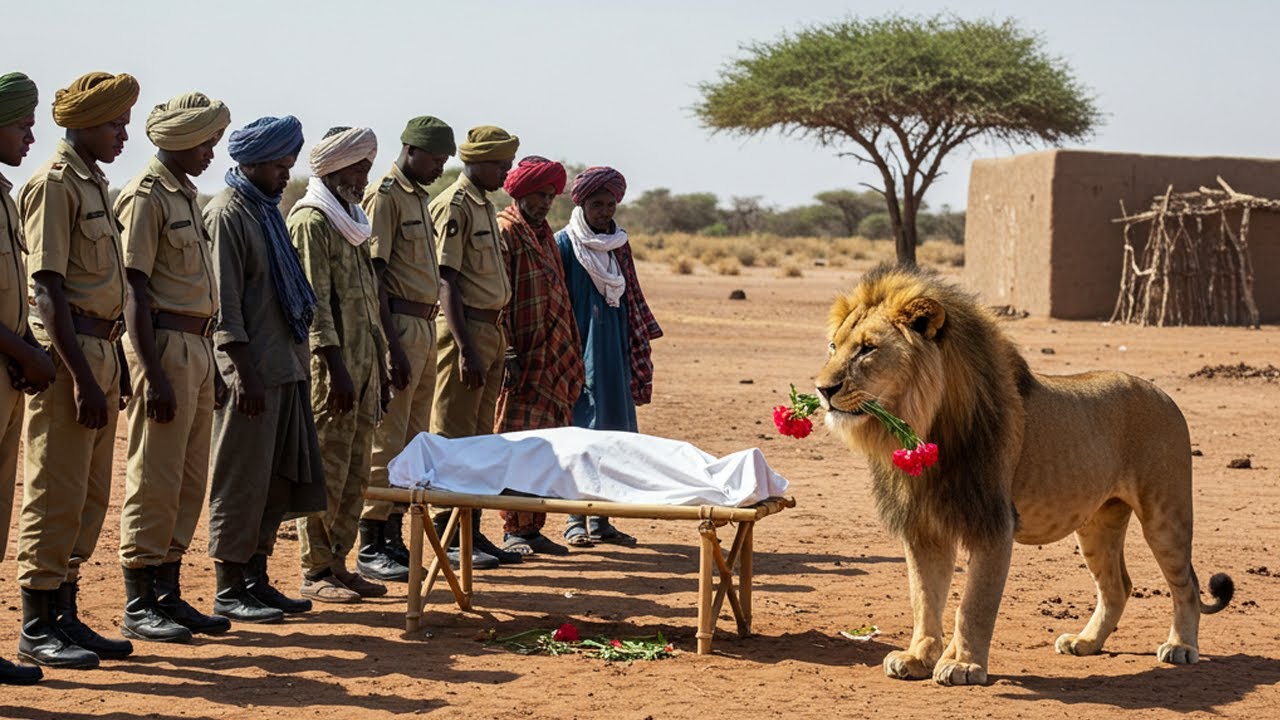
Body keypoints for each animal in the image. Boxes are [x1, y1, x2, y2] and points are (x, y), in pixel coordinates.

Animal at [816, 264, 1233, 686]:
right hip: (1097, 523)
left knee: (1186, 585)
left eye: (868, 348)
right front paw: (918, 657)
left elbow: (974, 604)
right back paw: (1084, 642)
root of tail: (1163, 394)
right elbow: (924, 600)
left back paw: (1181, 646)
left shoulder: (993, 523)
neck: (920, 424)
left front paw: (963, 664)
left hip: (1165, 516)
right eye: (833, 347)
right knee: (1117, 587)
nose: (822, 389)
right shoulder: (923, 528)